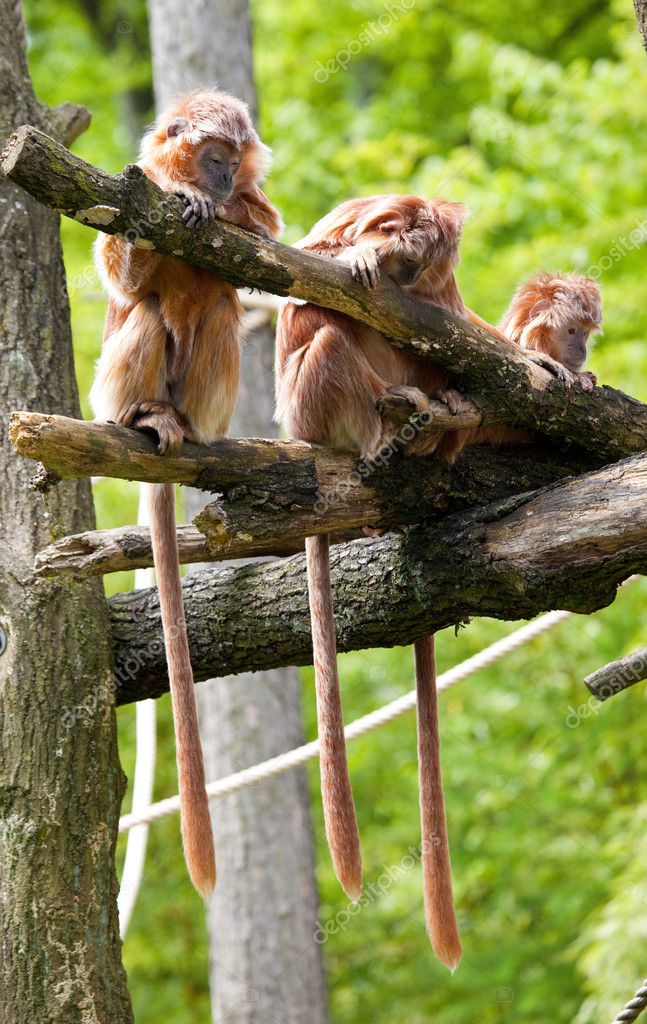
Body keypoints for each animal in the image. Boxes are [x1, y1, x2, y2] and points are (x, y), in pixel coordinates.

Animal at [275, 193, 511, 969]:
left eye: (418, 257)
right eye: (395, 240)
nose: (400, 265)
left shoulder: (439, 292)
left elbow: (458, 329)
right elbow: (303, 278)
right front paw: (353, 258)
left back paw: (429, 422)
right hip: (312, 410)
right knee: (322, 338)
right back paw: (386, 431)